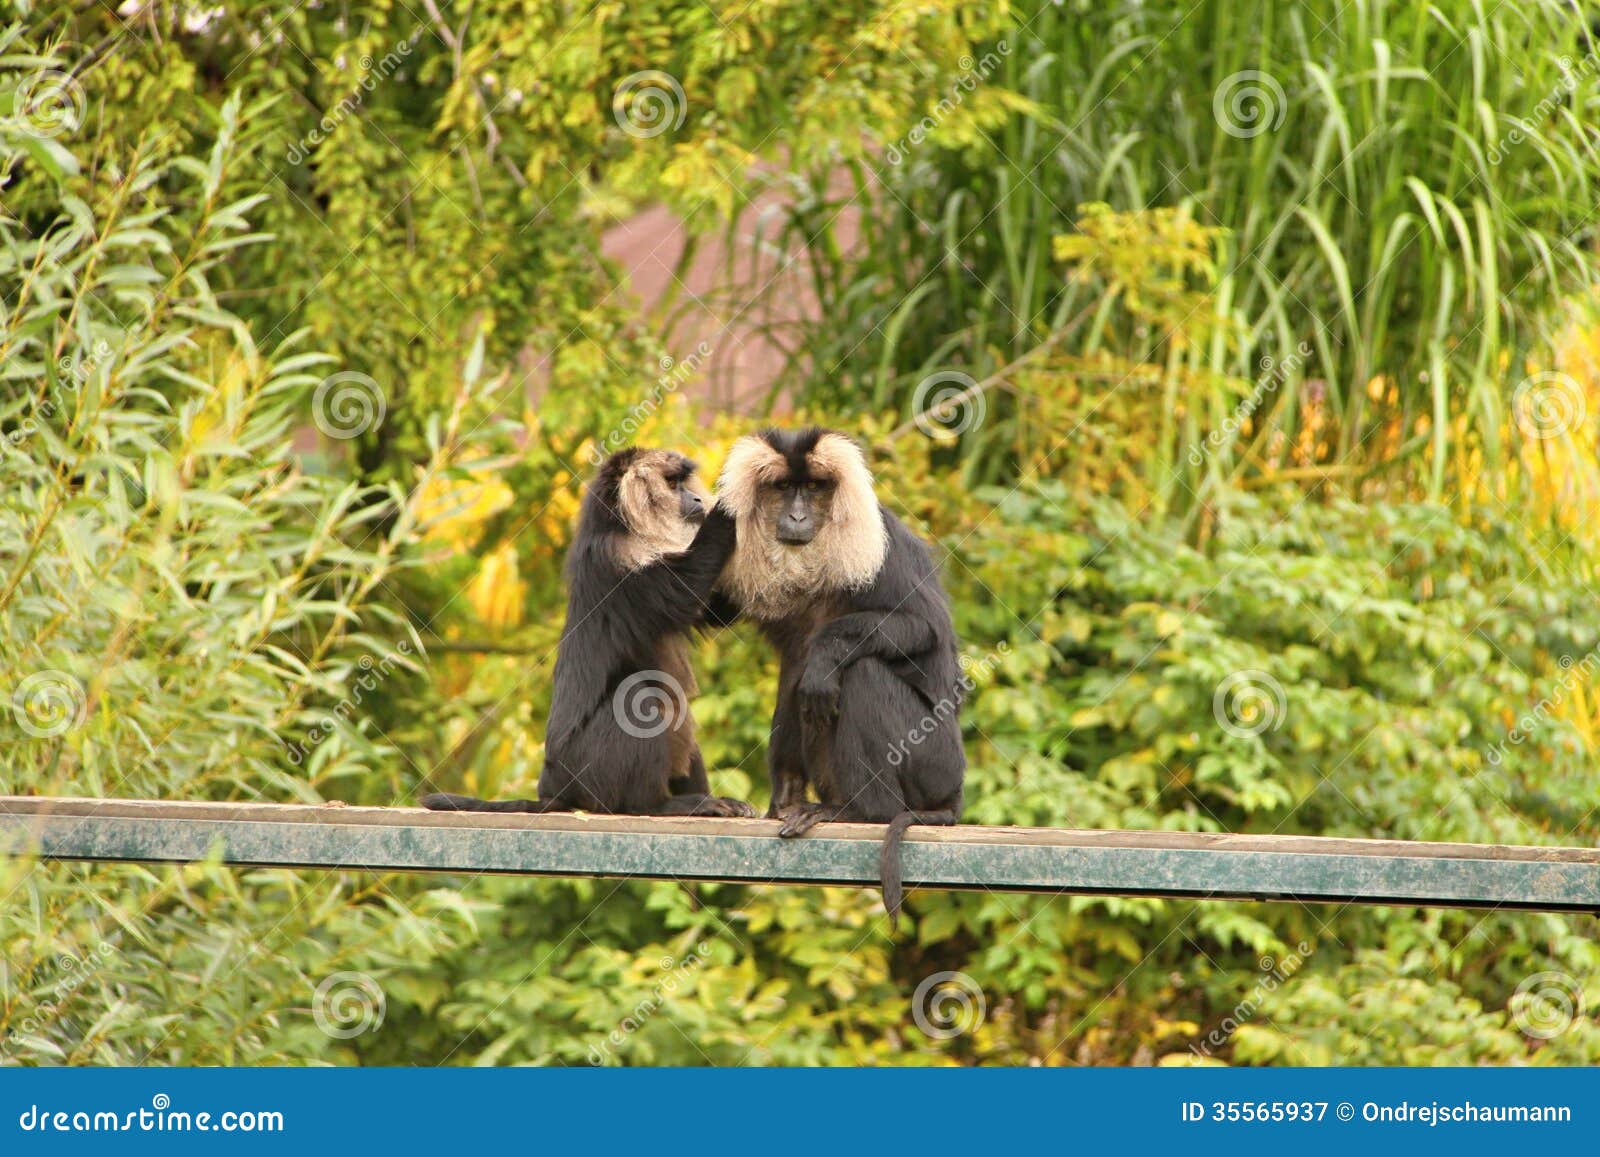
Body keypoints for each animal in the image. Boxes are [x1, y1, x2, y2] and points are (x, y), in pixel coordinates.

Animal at [422, 448, 756, 819]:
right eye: (672, 484)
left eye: (684, 482)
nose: (697, 499)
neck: (629, 531)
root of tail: (555, 787)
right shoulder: (615, 565)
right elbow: (683, 590)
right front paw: (729, 507)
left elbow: (719, 613)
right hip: (594, 770)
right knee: (638, 701)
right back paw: (664, 805)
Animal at [715, 427, 965, 916]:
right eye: (783, 488)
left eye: (813, 488)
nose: (796, 515)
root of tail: (955, 795)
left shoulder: (880, 545)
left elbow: (922, 627)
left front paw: (825, 655)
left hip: (936, 764)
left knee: (860, 674)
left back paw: (859, 813)